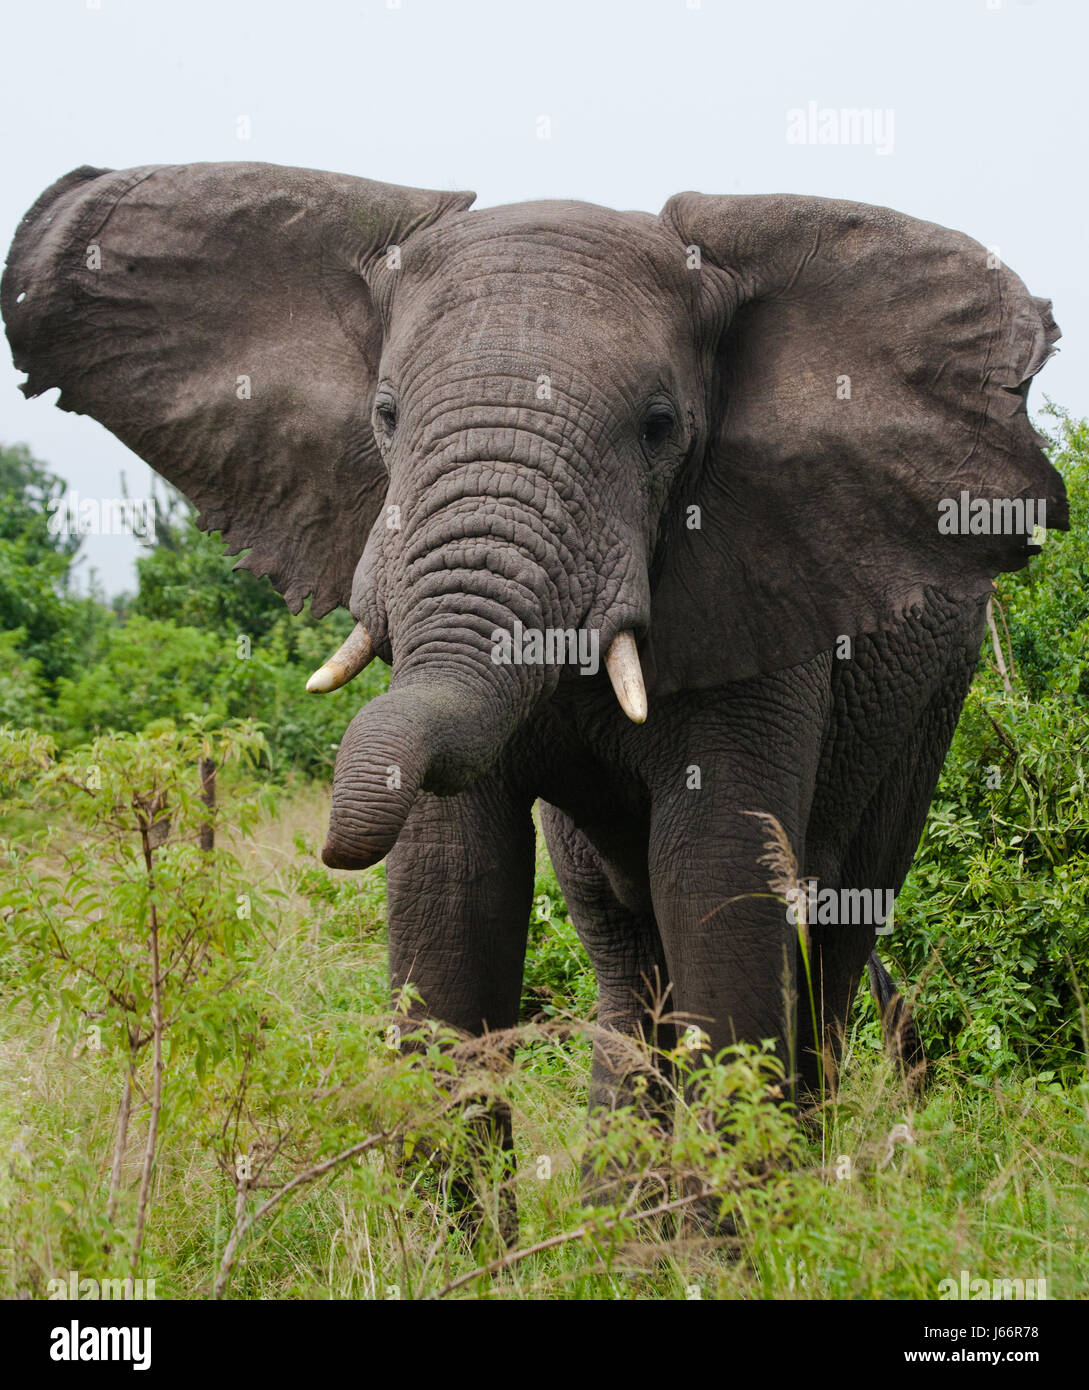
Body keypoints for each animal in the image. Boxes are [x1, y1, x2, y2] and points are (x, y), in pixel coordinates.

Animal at [2, 163, 1066, 1217]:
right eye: (386, 416)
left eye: (658, 427)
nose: (325, 848)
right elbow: (452, 881)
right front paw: (453, 1244)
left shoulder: (762, 590)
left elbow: (716, 874)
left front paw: (737, 1241)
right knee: (622, 947)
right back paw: (615, 1215)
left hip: (930, 701)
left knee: (833, 935)